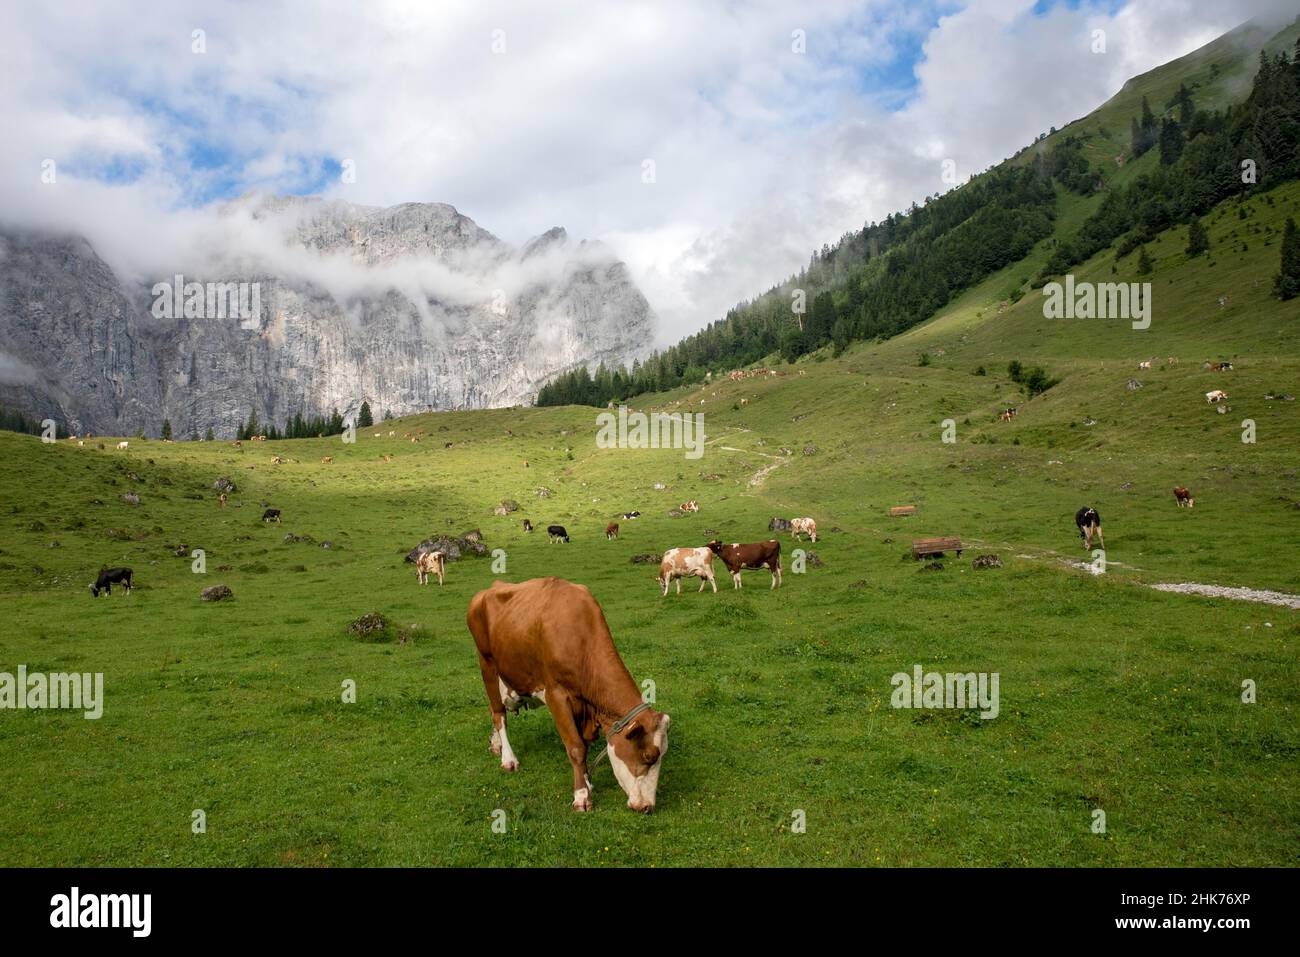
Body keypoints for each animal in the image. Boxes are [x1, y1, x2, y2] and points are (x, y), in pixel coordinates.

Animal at [466, 577, 670, 813]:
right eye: (648, 756)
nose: (648, 806)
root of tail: (492, 586)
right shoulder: (556, 695)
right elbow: (575, 747)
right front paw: (581, 795)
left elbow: (584, 744)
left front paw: (588, 782)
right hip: (486, 663)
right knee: (498, 713)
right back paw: (508, 758)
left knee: (497, 706)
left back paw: (496, 744)